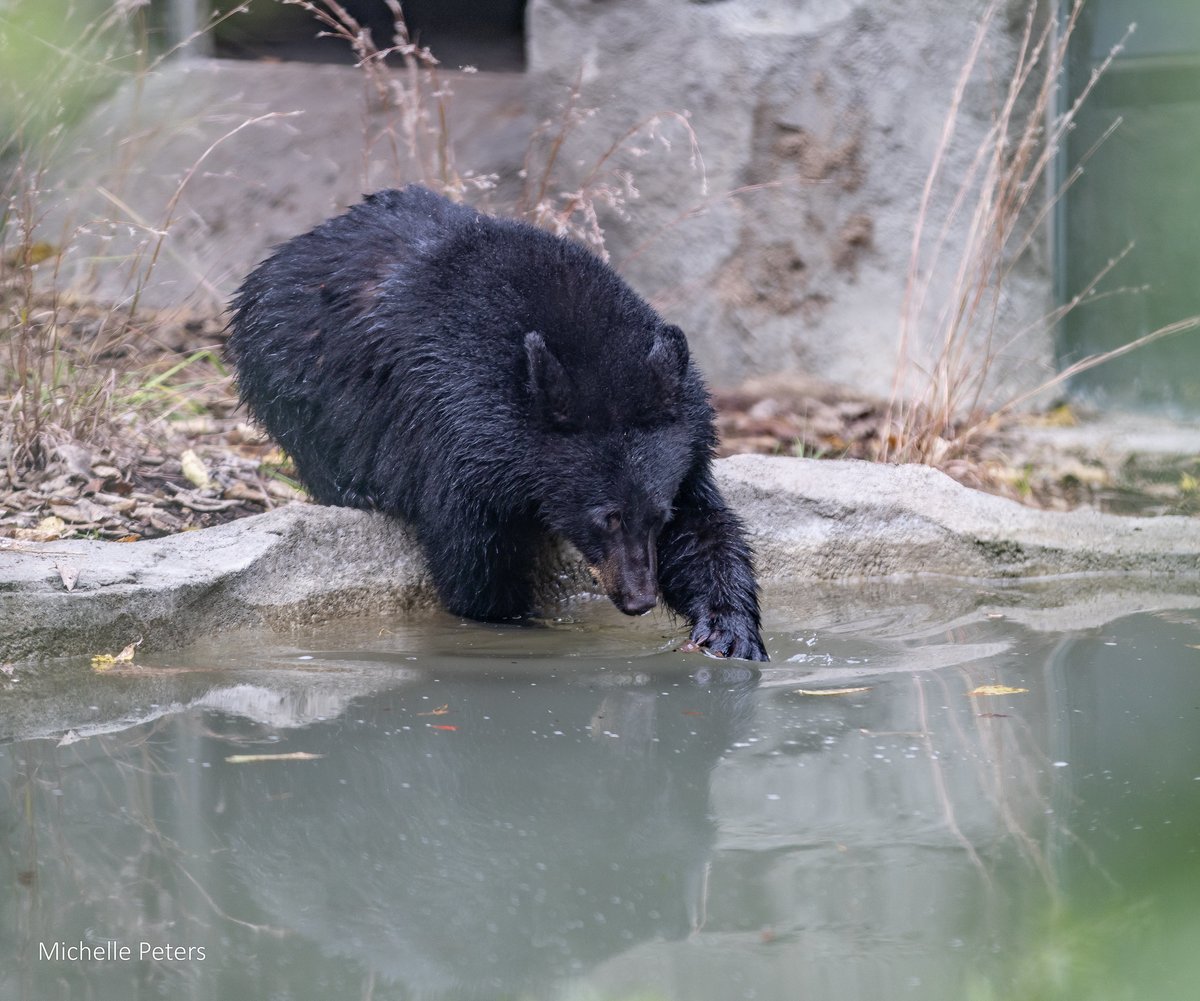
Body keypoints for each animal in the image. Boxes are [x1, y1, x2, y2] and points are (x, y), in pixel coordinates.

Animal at [227, 186, 767, 661]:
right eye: (605, 517)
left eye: (658, 515)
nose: (638, 600)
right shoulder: (455, 424)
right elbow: (472, 552)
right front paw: (514, 622)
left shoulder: (686, 439)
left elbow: (703, 525)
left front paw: (729, 630)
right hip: (289, 369)